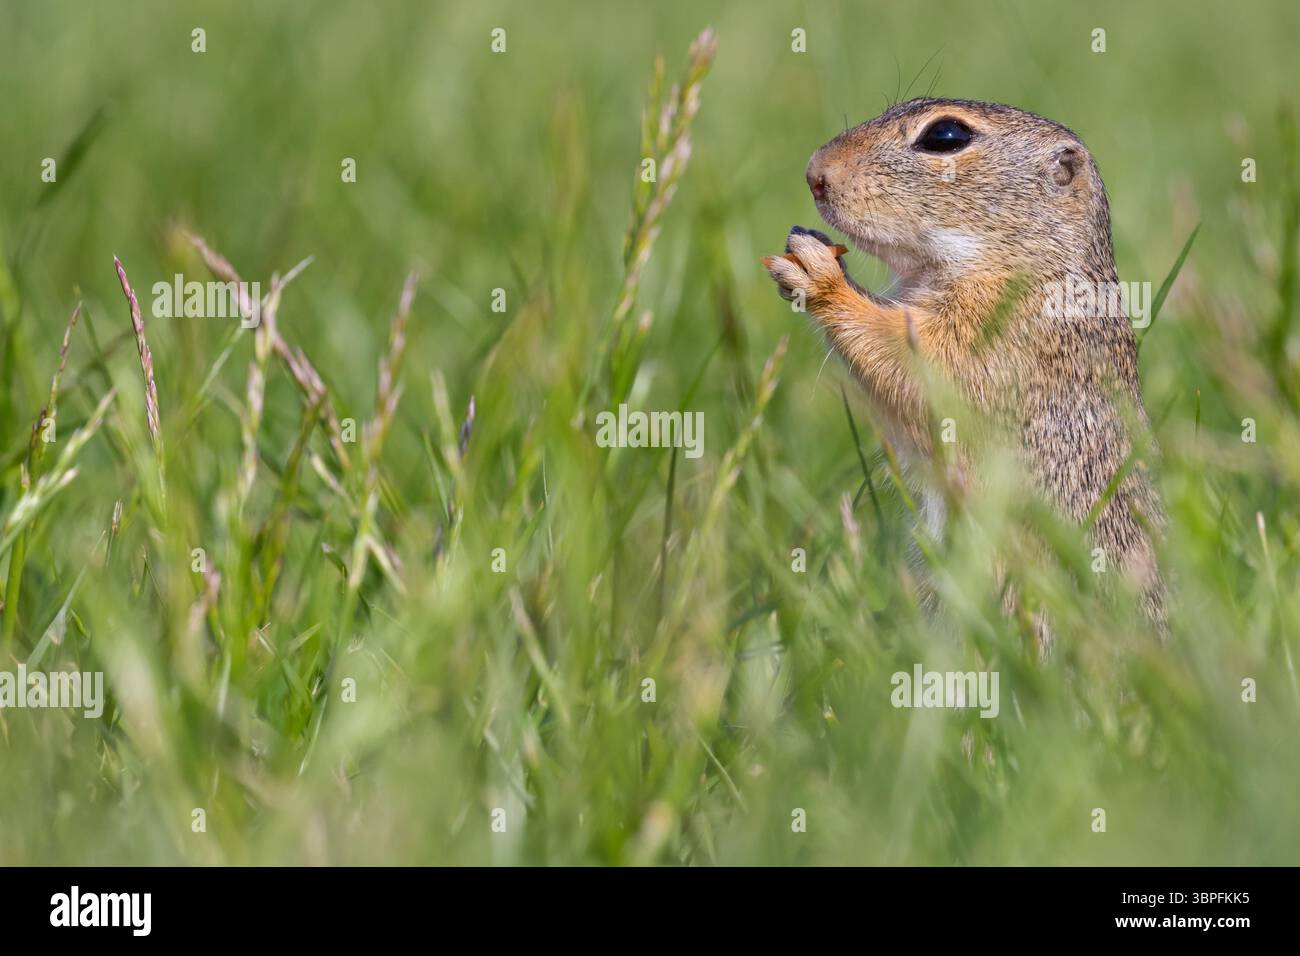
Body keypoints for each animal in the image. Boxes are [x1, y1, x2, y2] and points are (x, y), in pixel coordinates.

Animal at [762, 98, 1166, 643]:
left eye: (946, 136)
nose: (815, 175)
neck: (1027, 264)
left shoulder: (994, 346)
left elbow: (915, 369)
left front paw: (819, 276)